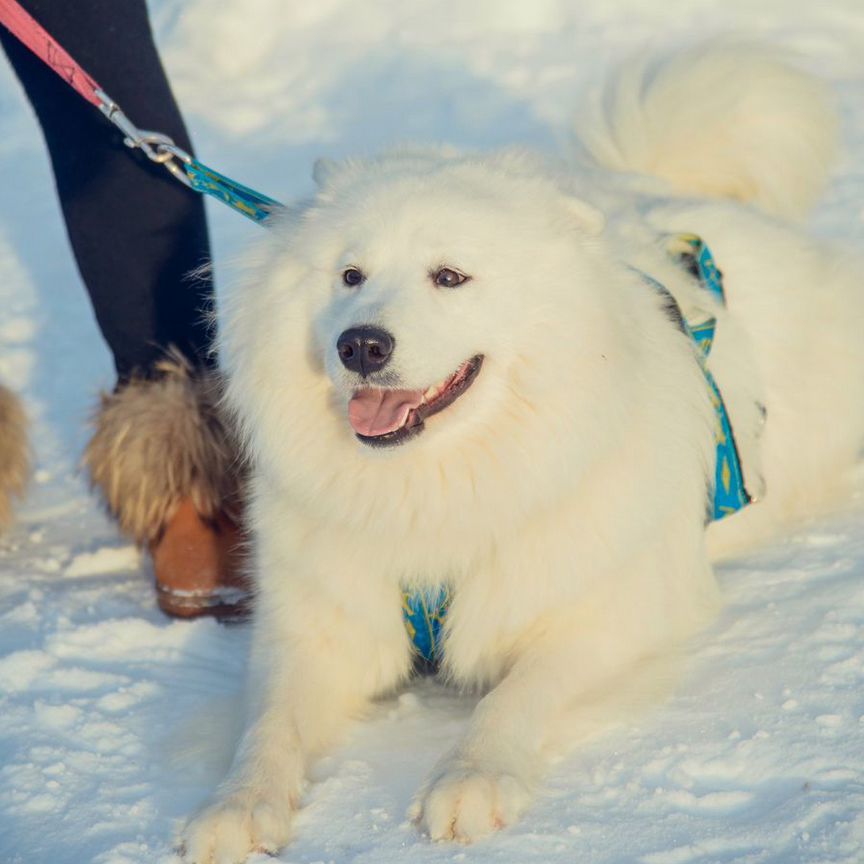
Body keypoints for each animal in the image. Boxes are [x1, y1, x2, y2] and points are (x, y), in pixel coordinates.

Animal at [179, 44, 860, 860]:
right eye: (350, 275)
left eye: (449, 276)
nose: (360, 345)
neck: (434, 494)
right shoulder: (317, 625)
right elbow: (269, 723)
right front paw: (237, 805)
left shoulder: (607, 616)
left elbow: (516, 694)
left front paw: (471, 780)